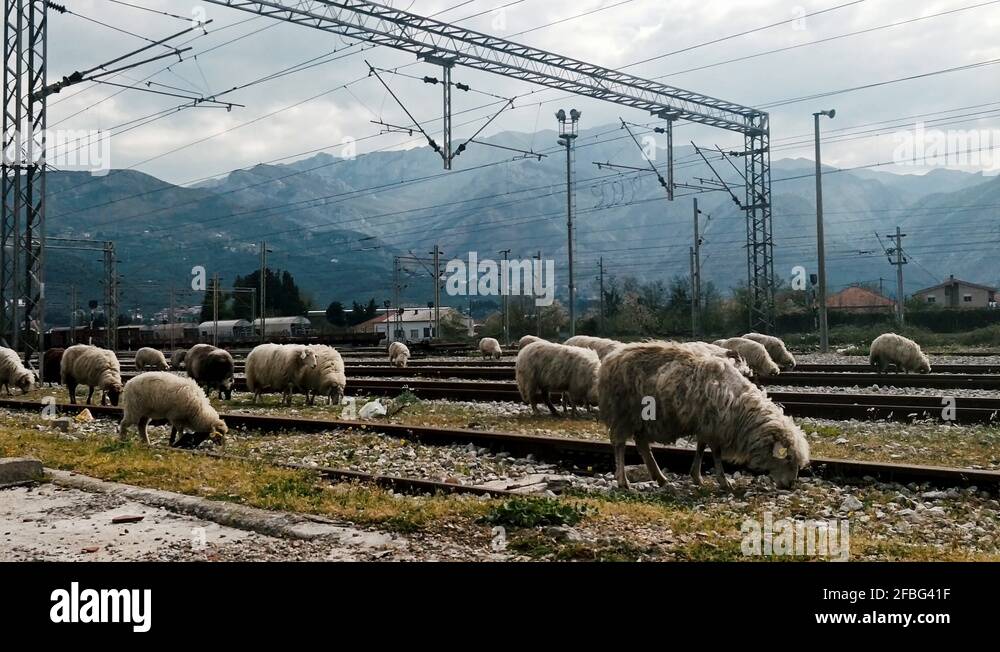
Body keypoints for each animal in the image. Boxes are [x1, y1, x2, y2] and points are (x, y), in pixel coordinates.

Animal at [598, 341, 810, 491]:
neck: (741, 410)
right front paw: (723, 481)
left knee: (642, 445)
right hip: (623, 413)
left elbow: (701, 448)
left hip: (641, 420)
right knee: (620, 445)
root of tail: (611, 359)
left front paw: (696, 476)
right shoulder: (714, 426)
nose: (791, 485)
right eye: (788, 459)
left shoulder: (707, 426)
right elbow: (715, 453)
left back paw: (661, 479)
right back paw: (623, 481)